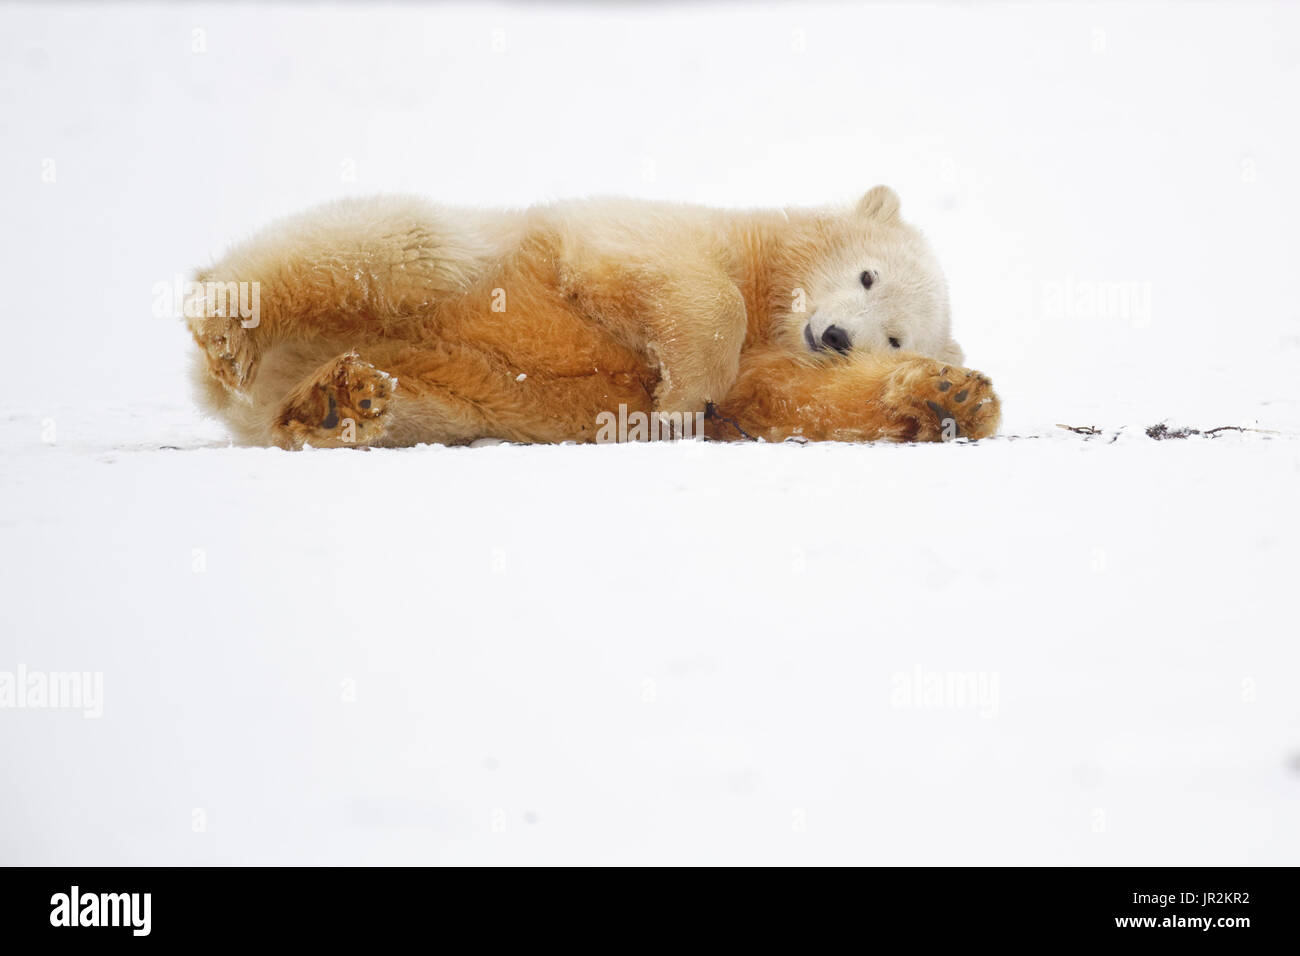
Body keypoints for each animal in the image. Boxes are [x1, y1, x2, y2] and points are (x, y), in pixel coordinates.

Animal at [185, 186, 1000, 448]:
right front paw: (677, 397)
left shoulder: (778, 365)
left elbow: (792, 400)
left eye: (892, 336)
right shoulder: (676, 233)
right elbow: (679, 281)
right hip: (459, 252)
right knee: (403, 247)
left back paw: (336, 402)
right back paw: (231, 325)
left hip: (452, 392)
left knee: (421, 408)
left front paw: (951, 398)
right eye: (866, 274)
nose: (831, 335)